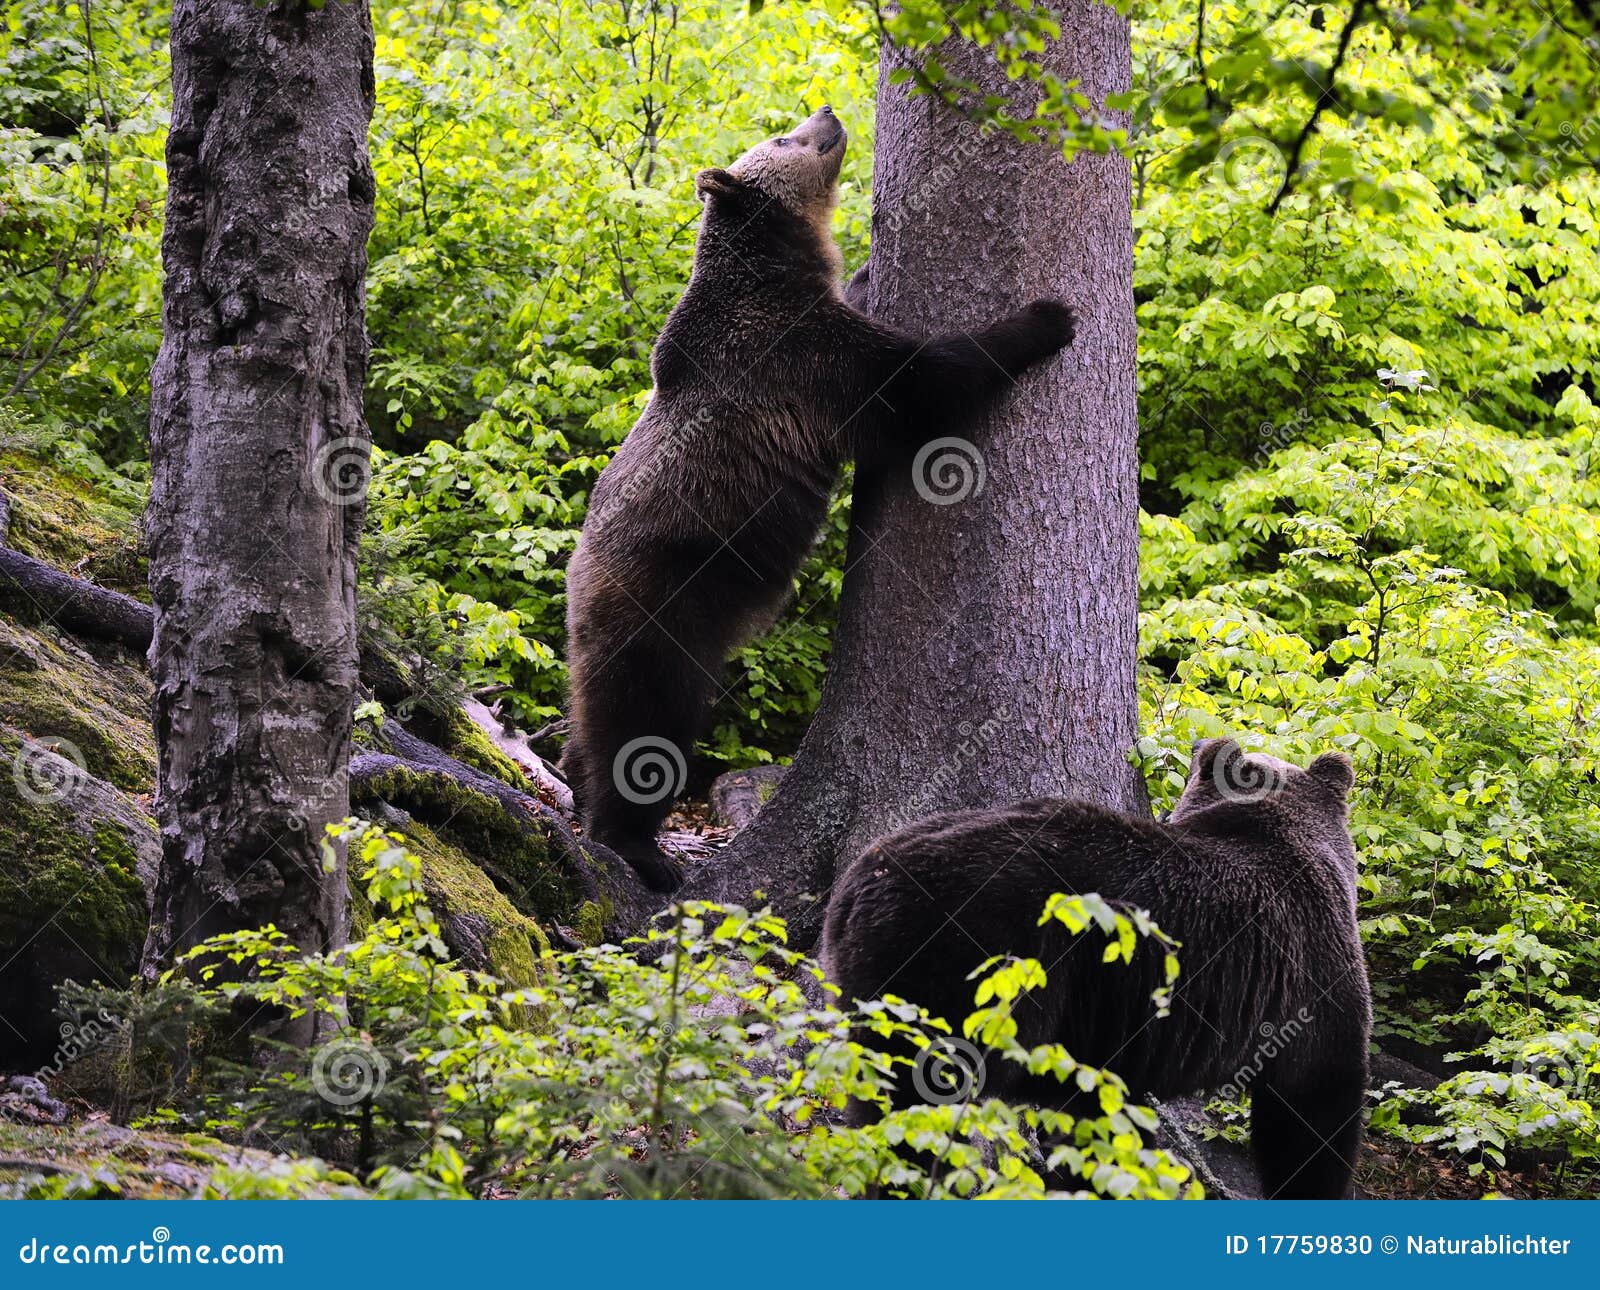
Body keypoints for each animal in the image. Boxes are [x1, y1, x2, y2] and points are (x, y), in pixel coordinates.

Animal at [562, 105, 1077, 890]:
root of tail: (575, 580)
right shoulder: (799, 358)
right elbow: (917, 381)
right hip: (664, 602)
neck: (776, 269)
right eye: (782, 137)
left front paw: (867, 270)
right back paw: (639, 848)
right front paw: (1047, 318)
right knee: (645, 724)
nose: (829, 112)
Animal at [822, 738, 1372, 1199]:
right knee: (917, 1109)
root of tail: (859, 885)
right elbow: (1312, 1114)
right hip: (961, 972)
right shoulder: (1307, 979)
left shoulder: (1096, 1038)